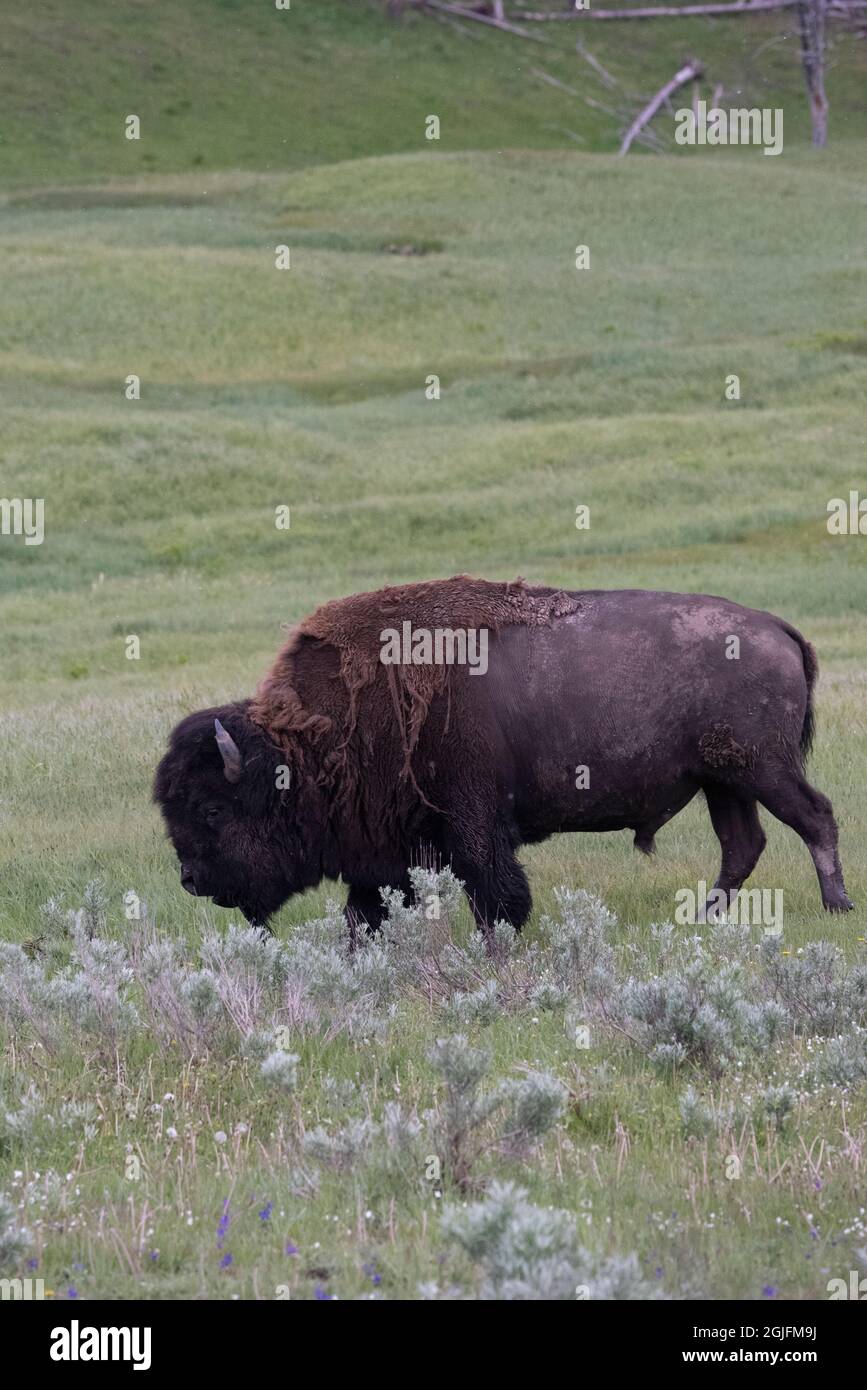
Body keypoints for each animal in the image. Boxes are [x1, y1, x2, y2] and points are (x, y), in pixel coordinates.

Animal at [153, 576, 853, 938]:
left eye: (212, 809)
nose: (190, 879)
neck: (314, 740)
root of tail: (775, 626)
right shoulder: (382, 852)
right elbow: (364, 911)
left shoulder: (472, 824)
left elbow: (495, 895)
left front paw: (499, 947)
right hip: (722, 779)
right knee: (744, 844)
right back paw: (703, 919)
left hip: (762, 768)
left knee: (815, 819)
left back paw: (837, 907)